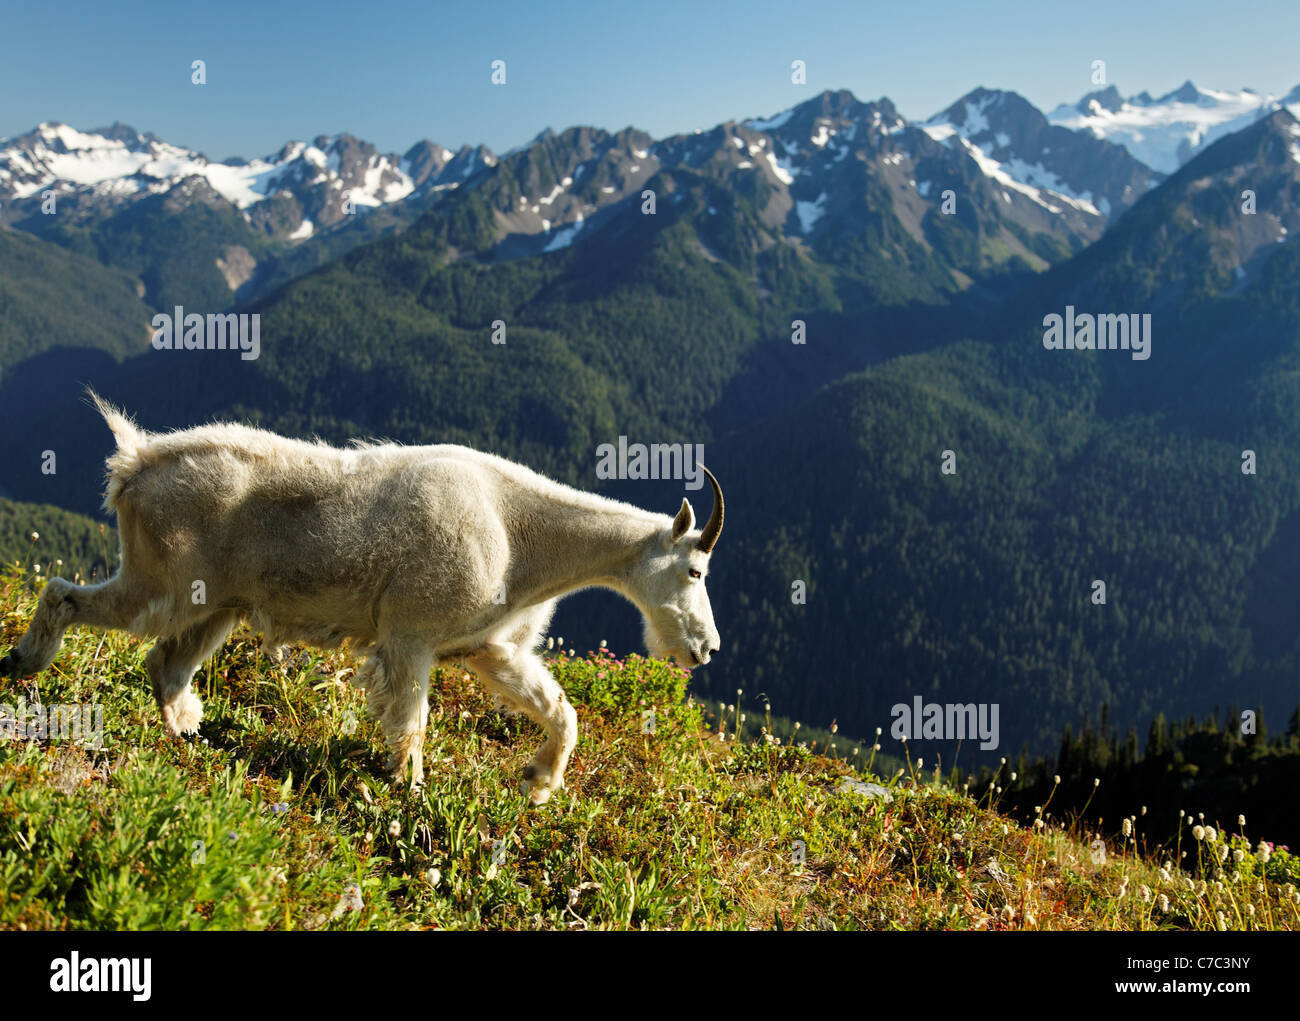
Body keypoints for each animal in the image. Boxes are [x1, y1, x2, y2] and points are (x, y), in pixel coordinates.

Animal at [0, 394, 724, 804]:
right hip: (162, 582)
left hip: (216, 602)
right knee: (68, 596)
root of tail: (134, 465)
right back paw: (25, 661)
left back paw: (187, 732)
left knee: (167, 664)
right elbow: (411, 722)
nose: (706, 648)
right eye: (694, 569)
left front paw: (538, 784)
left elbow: (560, 710)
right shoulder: (410, 636)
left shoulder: (487, 647)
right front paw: (410, 796)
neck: (521, 533)